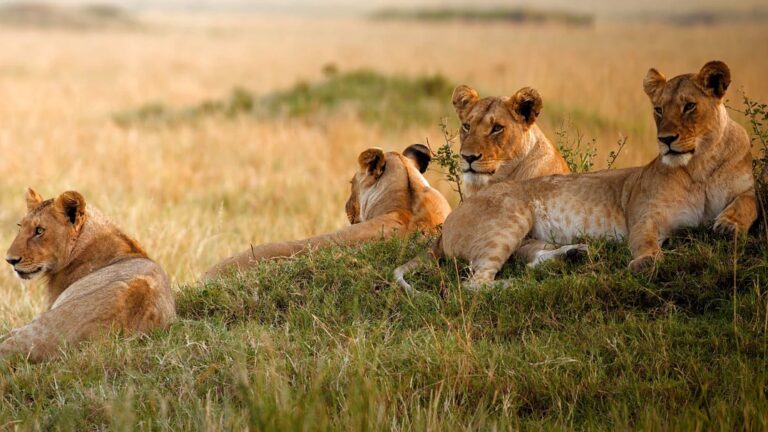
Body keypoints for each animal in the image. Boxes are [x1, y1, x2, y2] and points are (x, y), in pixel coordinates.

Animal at [396, 61, 757, 291]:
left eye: (689, 106)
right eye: (466, 126)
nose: (468, 158)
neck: (699, 166)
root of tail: (447, 225)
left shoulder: (744, 188)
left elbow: (747, 201)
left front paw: (728, 225)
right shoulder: (643, 216)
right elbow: (646, 241)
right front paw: (646, 263)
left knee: (524, 261)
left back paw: (573, 255)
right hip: (510, 220)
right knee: (475, 283)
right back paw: (521, 285)